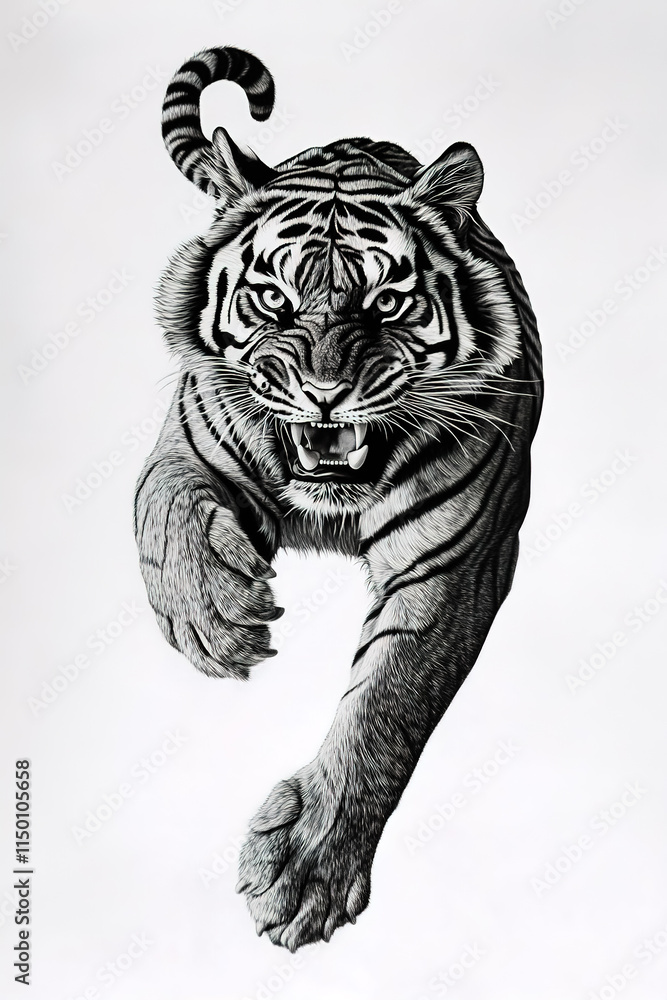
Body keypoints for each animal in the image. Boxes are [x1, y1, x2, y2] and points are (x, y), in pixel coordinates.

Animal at [134, 46, 543, 951]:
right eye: (271, 299)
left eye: (387, 301)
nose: (325, 394)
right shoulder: (185, 446)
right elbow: (166, 514)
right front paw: (217, 624)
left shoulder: (450, 564)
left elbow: (387, 700)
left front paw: (305, 870)